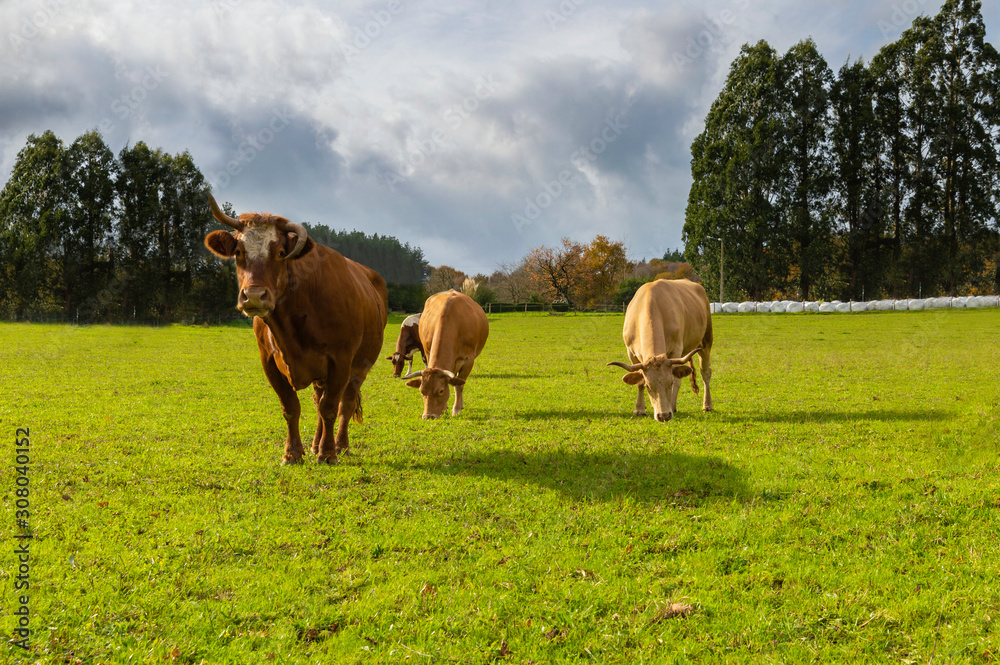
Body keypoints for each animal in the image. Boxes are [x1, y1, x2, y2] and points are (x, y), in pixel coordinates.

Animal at [203, 194, 388, 464]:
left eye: (281, 253)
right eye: (238, 252)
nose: (254, 296)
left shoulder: (341, 361)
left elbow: (331, 408)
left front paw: (328, 454)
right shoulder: (269, 361)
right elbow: (292, 407)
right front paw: (292, 453)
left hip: (361, 366)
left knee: (345, 403)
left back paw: (340, 445)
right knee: (319, 401)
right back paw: (315, 444)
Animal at [403, 290, 489, 419]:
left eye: (441, 391)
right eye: (421, 391)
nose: (428, 416)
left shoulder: (468, 360)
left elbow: (459, 385)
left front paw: (456, 409)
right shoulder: (427, 353)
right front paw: (445, 408)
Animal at [607, 278, 713, 422]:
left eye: (670, 383)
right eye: (648, 386)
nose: (664, 415)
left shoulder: (675, 350)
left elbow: (677, 381)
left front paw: (671, 406)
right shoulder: (631, 353)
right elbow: (639, 381)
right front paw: (639, 409)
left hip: (706, 340)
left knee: (705, 373)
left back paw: (707, 405)